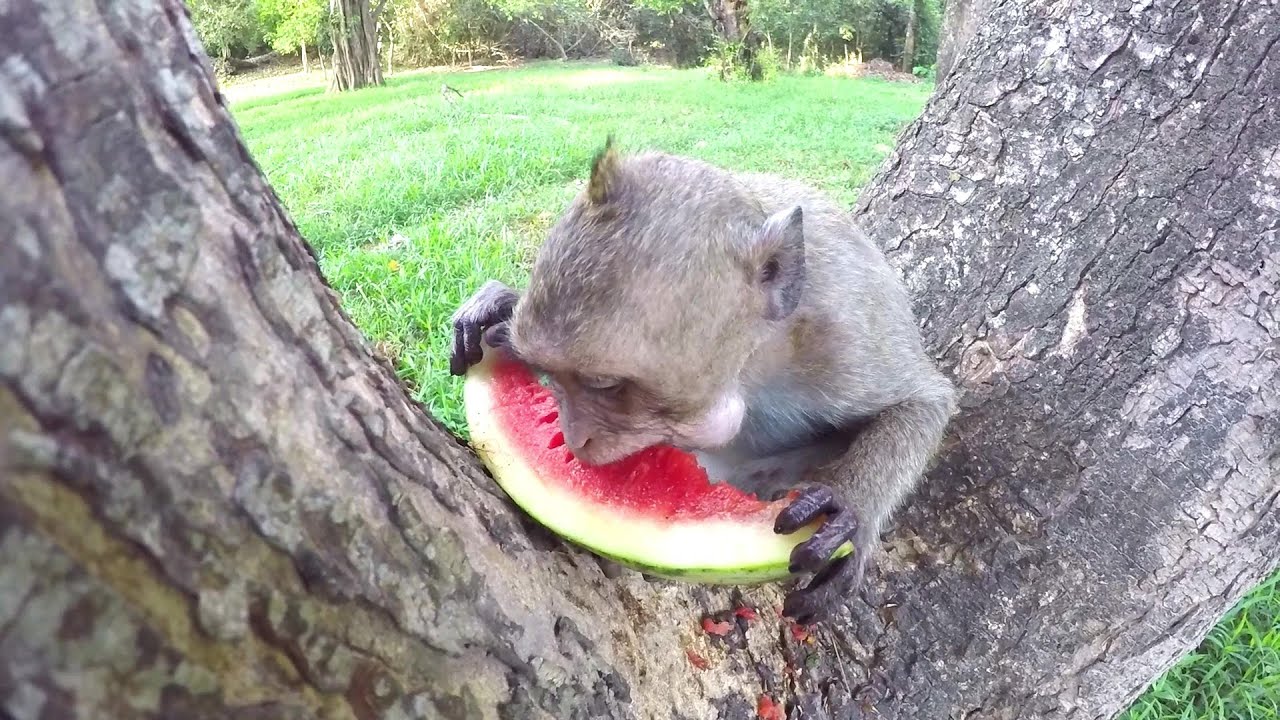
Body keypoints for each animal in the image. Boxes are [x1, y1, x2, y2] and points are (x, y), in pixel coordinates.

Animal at [449, 139, 957, 623]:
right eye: (554, 377)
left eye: (605, 384)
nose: (575, 440)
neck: (753, 365)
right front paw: (498, 307)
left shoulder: (847, 334)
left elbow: (925, 401)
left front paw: (851, 503)